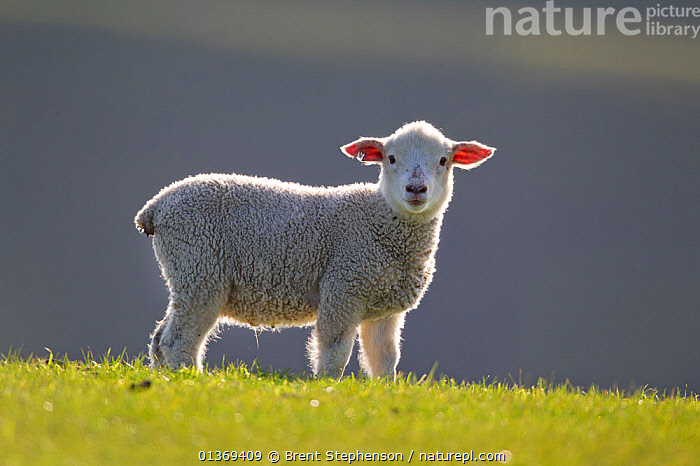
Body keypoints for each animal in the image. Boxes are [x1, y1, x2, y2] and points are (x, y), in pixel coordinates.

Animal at [134, 121, 495, 380]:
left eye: (444, 161)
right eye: (391, 158)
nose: (416, 189)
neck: (380, 220)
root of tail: (156, 207)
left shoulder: (385, 309)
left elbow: (385, 361)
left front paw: (382, 392)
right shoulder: (343, 287)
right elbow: (336, 352)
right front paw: (327, 387)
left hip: (188, 277)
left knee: (160, 338)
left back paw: (166, 379)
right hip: (200, 269)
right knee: (178, 340)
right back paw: (192, 380)